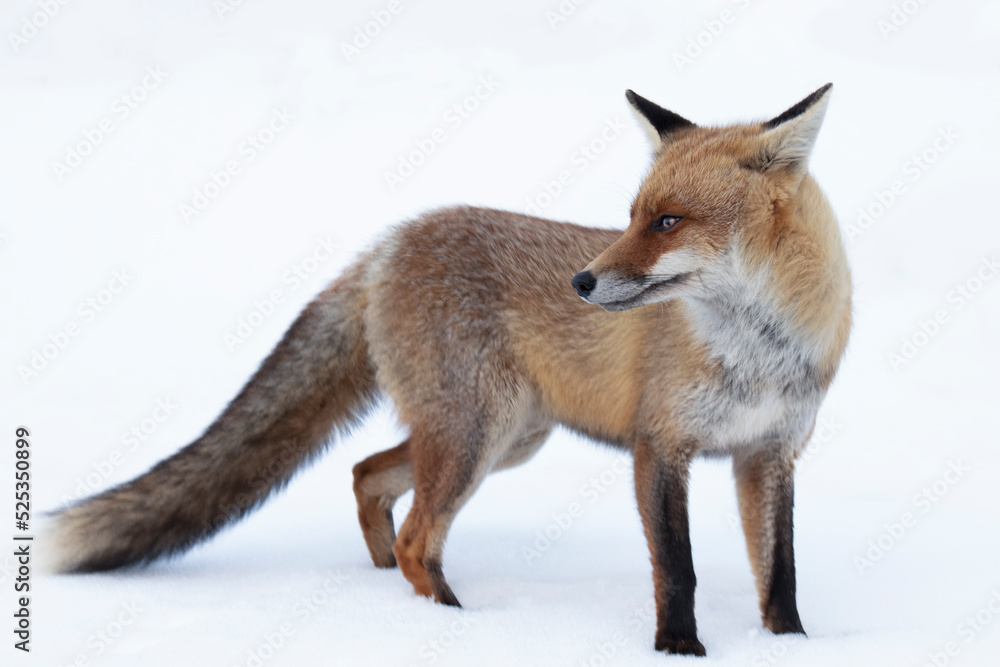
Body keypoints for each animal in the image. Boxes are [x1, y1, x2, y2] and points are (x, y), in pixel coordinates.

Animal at [46, 84, 851, 656]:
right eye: (631, 216)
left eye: (668, 222)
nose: (581, 283)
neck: (754, 351)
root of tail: (388, 242)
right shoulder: (661, 446)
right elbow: (677, 567)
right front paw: (679, 648)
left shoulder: (770, 454)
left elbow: (780, 573)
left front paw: (793, 647)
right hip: (476, 435)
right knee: (416, 534)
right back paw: (452, 630)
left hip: (501, 439)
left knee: (368, 475)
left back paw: (390, 586)